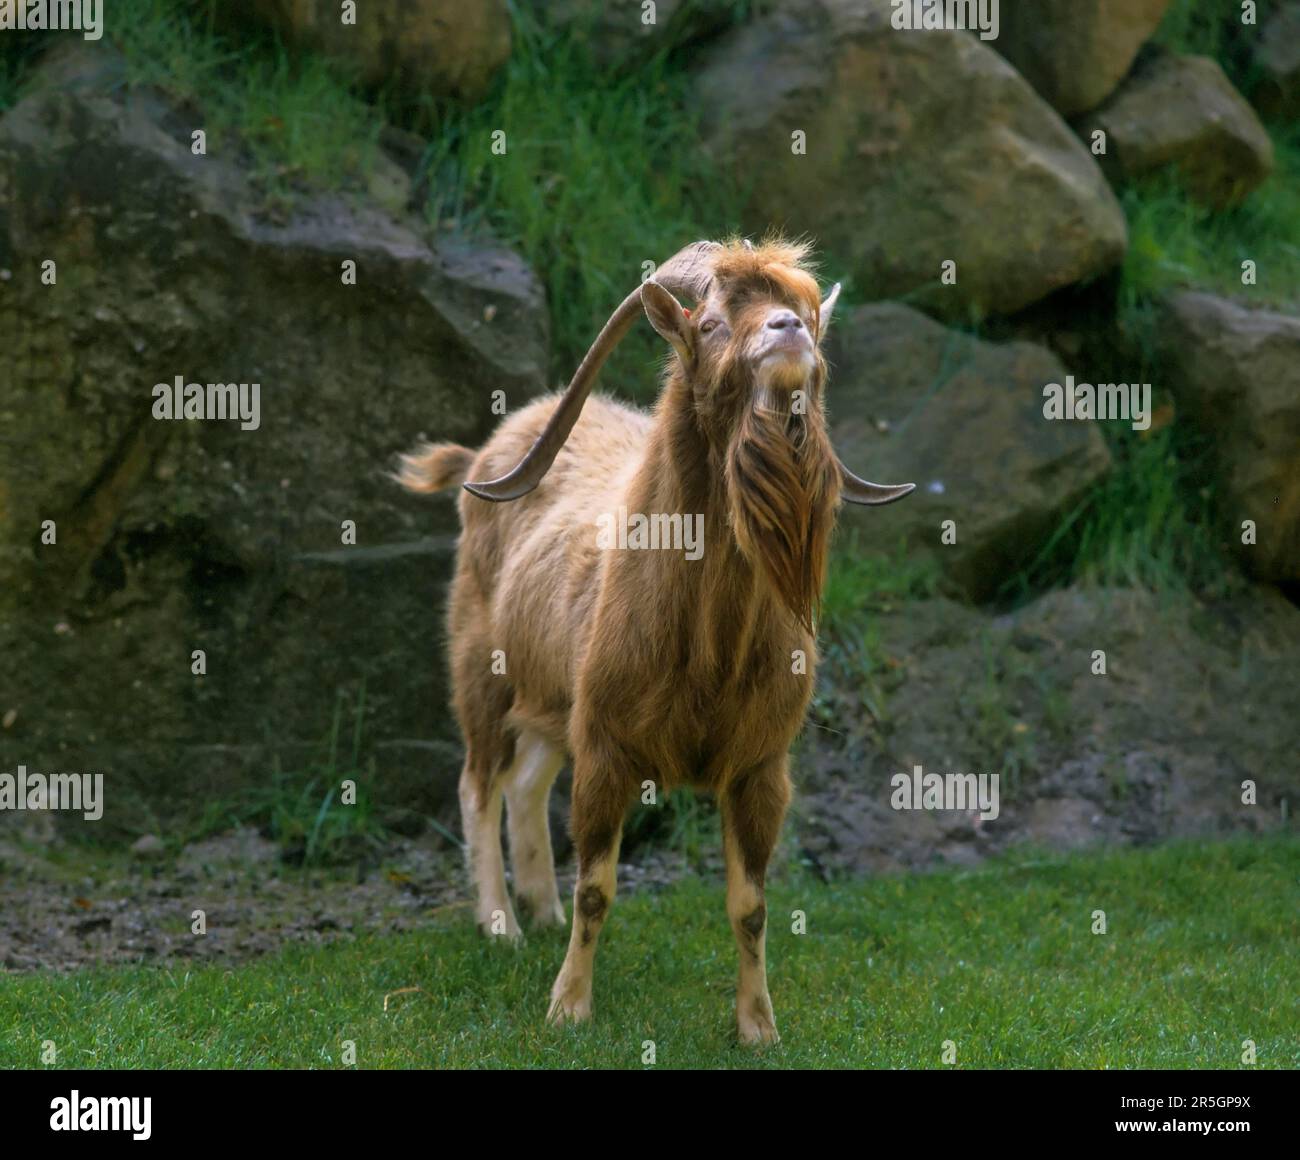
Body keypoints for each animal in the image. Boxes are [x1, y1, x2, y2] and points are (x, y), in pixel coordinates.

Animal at [397, 238, 912, 1044]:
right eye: (709, 322)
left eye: (799, 309)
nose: (789, 330)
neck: (706, 647)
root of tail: (488, 452)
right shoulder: (607, 749)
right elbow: (599, 889)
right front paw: (568, 1008)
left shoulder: (760, 767)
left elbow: (750, 905)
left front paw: (757, 1026)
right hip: (481, 664)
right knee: (479, 780)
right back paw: (501, 926)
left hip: (556, 702)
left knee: (526, 783)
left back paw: (540, 912)